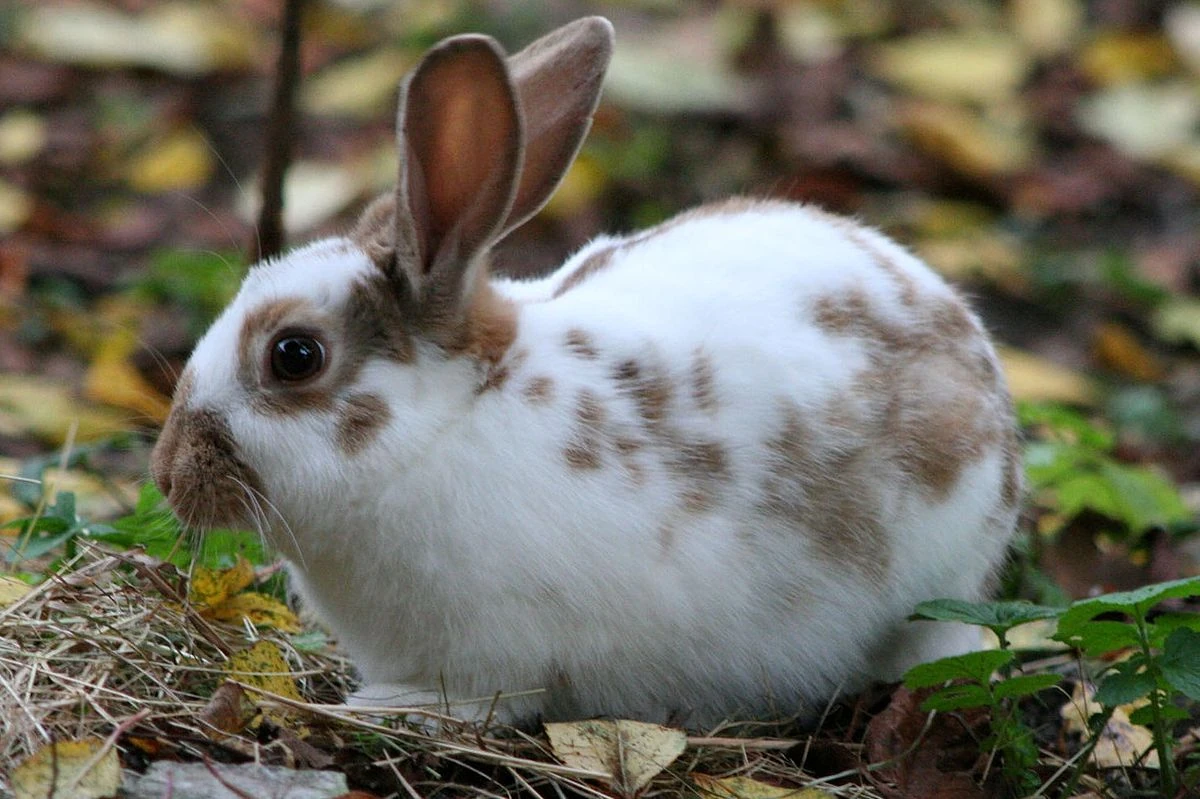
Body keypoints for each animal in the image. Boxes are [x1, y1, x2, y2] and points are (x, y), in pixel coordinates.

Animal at [151, 16, 1022, 729]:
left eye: (294, 355)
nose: (167, 472)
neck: (446, 427)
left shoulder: (491, 657)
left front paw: (380, 706)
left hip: (934, 583)